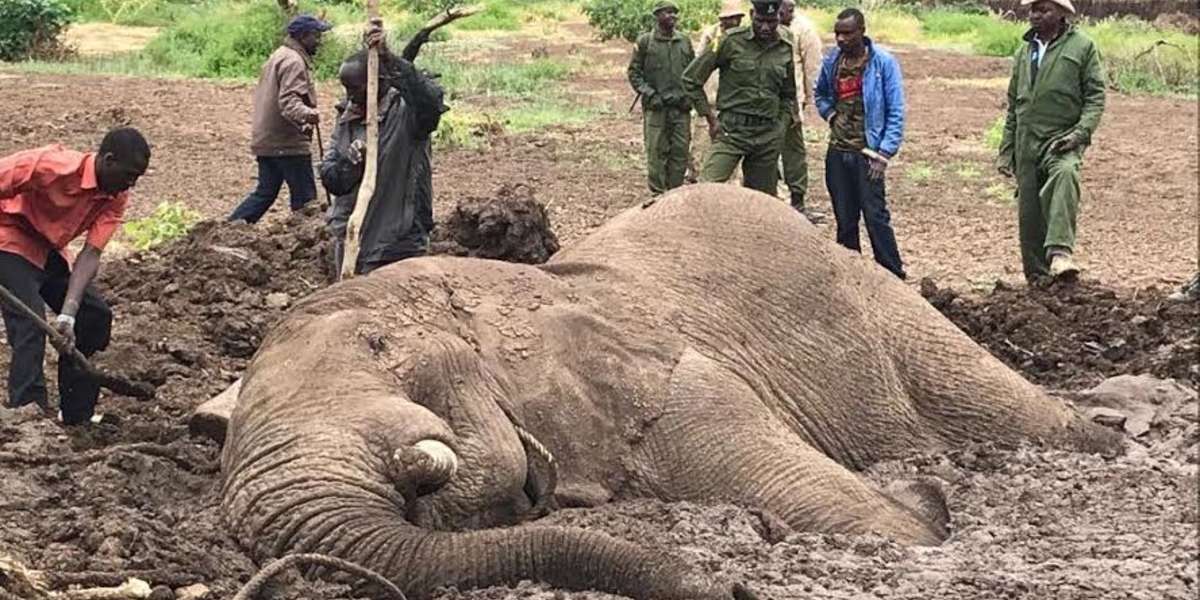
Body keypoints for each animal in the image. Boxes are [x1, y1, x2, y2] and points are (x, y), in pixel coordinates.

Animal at [220, 183, 1120, 599]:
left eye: (384, 352)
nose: (736, 584)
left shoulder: (680, 389)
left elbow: (854, 516)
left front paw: (924, 514)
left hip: (885, 302)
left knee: (1020, 413)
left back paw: (1111, 432)